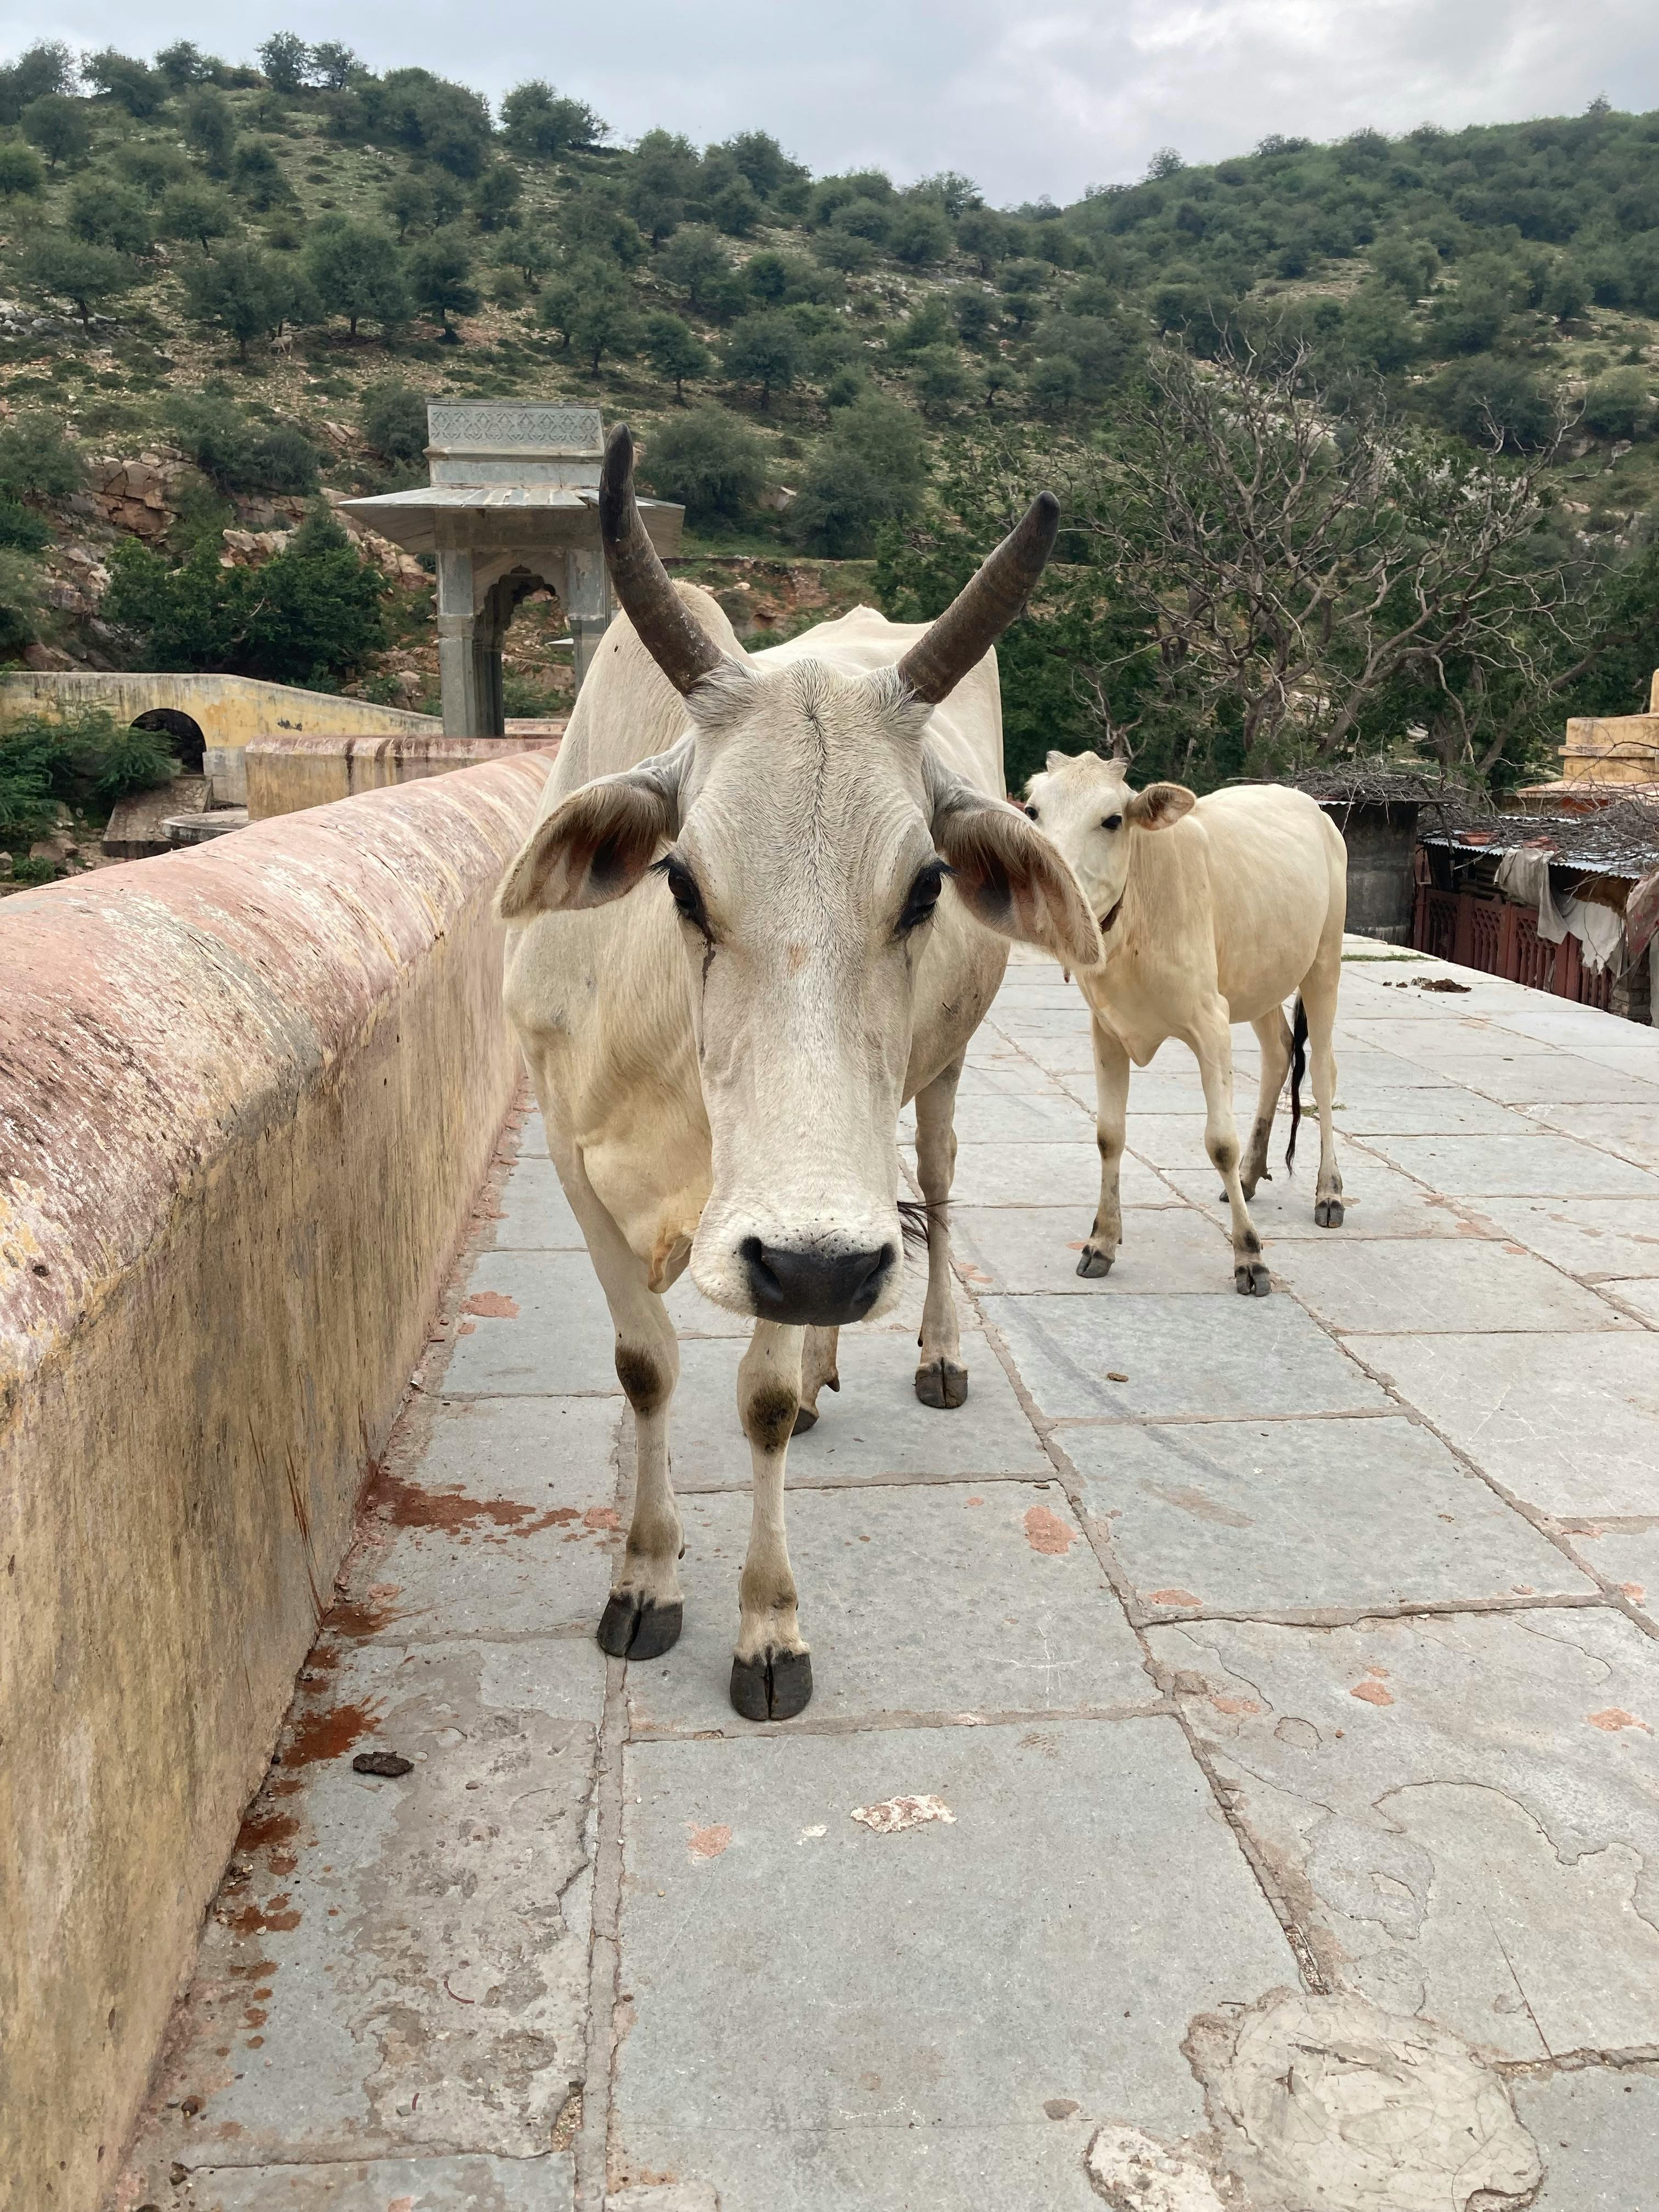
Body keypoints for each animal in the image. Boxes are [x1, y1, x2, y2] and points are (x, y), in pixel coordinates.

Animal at [495, 430, 1099, 1721]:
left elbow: (758, 1402)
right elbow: (646, 1367)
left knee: (938, 1190)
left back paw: (933, 1354)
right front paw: (645, 1580)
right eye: (678, 880)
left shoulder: (794, 1226)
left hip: (931, 1088)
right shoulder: (577, 1161)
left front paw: (768, 1629)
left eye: (925, 887)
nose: (827, 1269)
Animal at [1018, 752, 1347, 1294]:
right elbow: (1109, 1135)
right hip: (1259, 980)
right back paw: (1251, 1177)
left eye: (1113, 820)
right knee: (1279, 1053)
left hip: (1324, 961)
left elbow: (1220, 1143)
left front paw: (1250, 1256)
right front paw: (1101, 1242)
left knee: (1321, 1072)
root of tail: (1309, 805)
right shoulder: (1106, 1029)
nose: (1048, 895)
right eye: (1032, 811)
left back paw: (1329, 1192)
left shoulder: (1210, 1023)